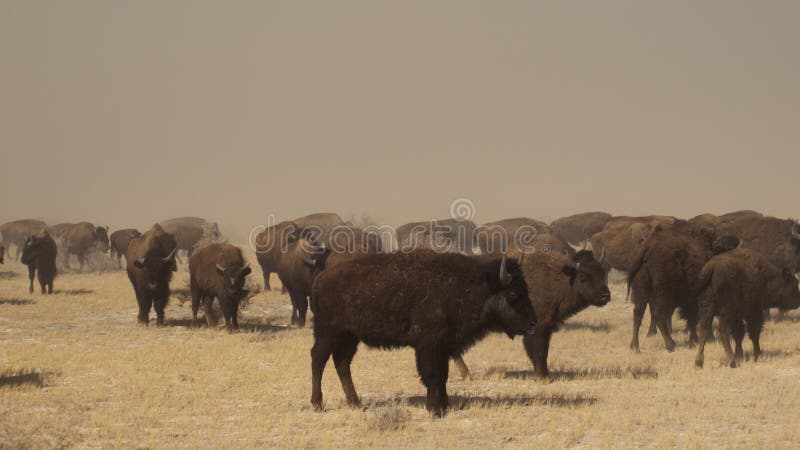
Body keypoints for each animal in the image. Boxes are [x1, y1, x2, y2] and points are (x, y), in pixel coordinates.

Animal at [310, 250, 536, 416]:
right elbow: (432, 375)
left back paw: (355, 403)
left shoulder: (444, 346)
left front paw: (446, 405)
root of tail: (320, 279)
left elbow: (442, 375)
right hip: (328, 333)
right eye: (513, 293)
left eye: (526, 288)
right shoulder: (429, 345)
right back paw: (317, 404)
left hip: (349, 337)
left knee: (342, 363)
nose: (533, 323)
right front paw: (435, 409)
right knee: (318, 360)